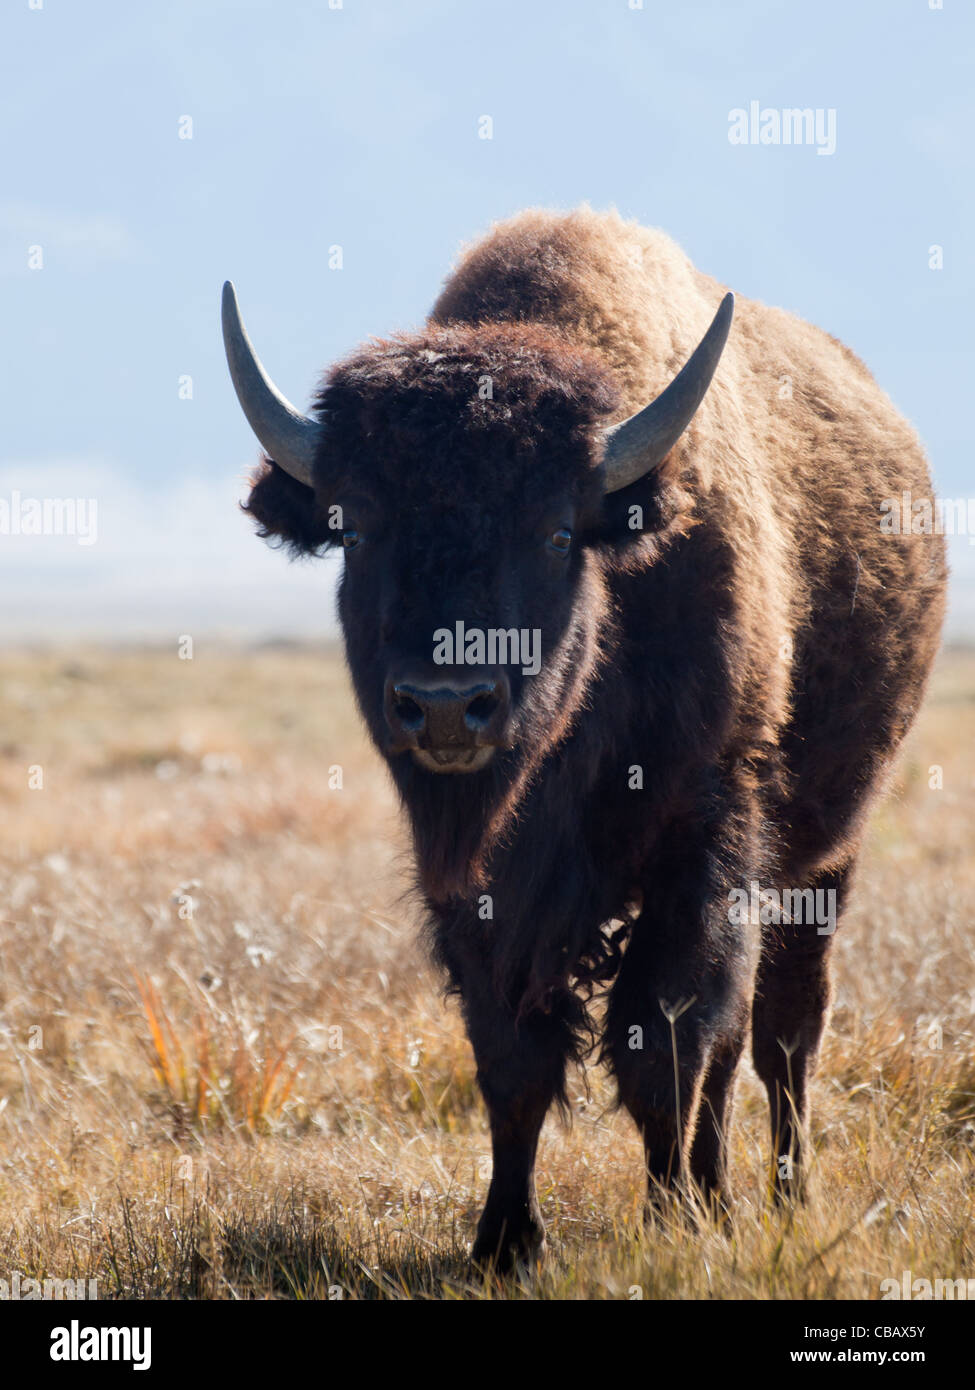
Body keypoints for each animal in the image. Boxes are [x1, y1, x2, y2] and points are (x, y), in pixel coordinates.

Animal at [222, 207, 946, 1270]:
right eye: (354, 529)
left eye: (557, 533)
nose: (447, 705)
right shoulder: (479, 885)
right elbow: (513, 1058)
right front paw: (504, 1242)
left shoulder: (706, 840)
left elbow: (664, 1039)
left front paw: (670, 1226)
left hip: (825, 855)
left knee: (779, 1032)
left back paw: (774, 1199)